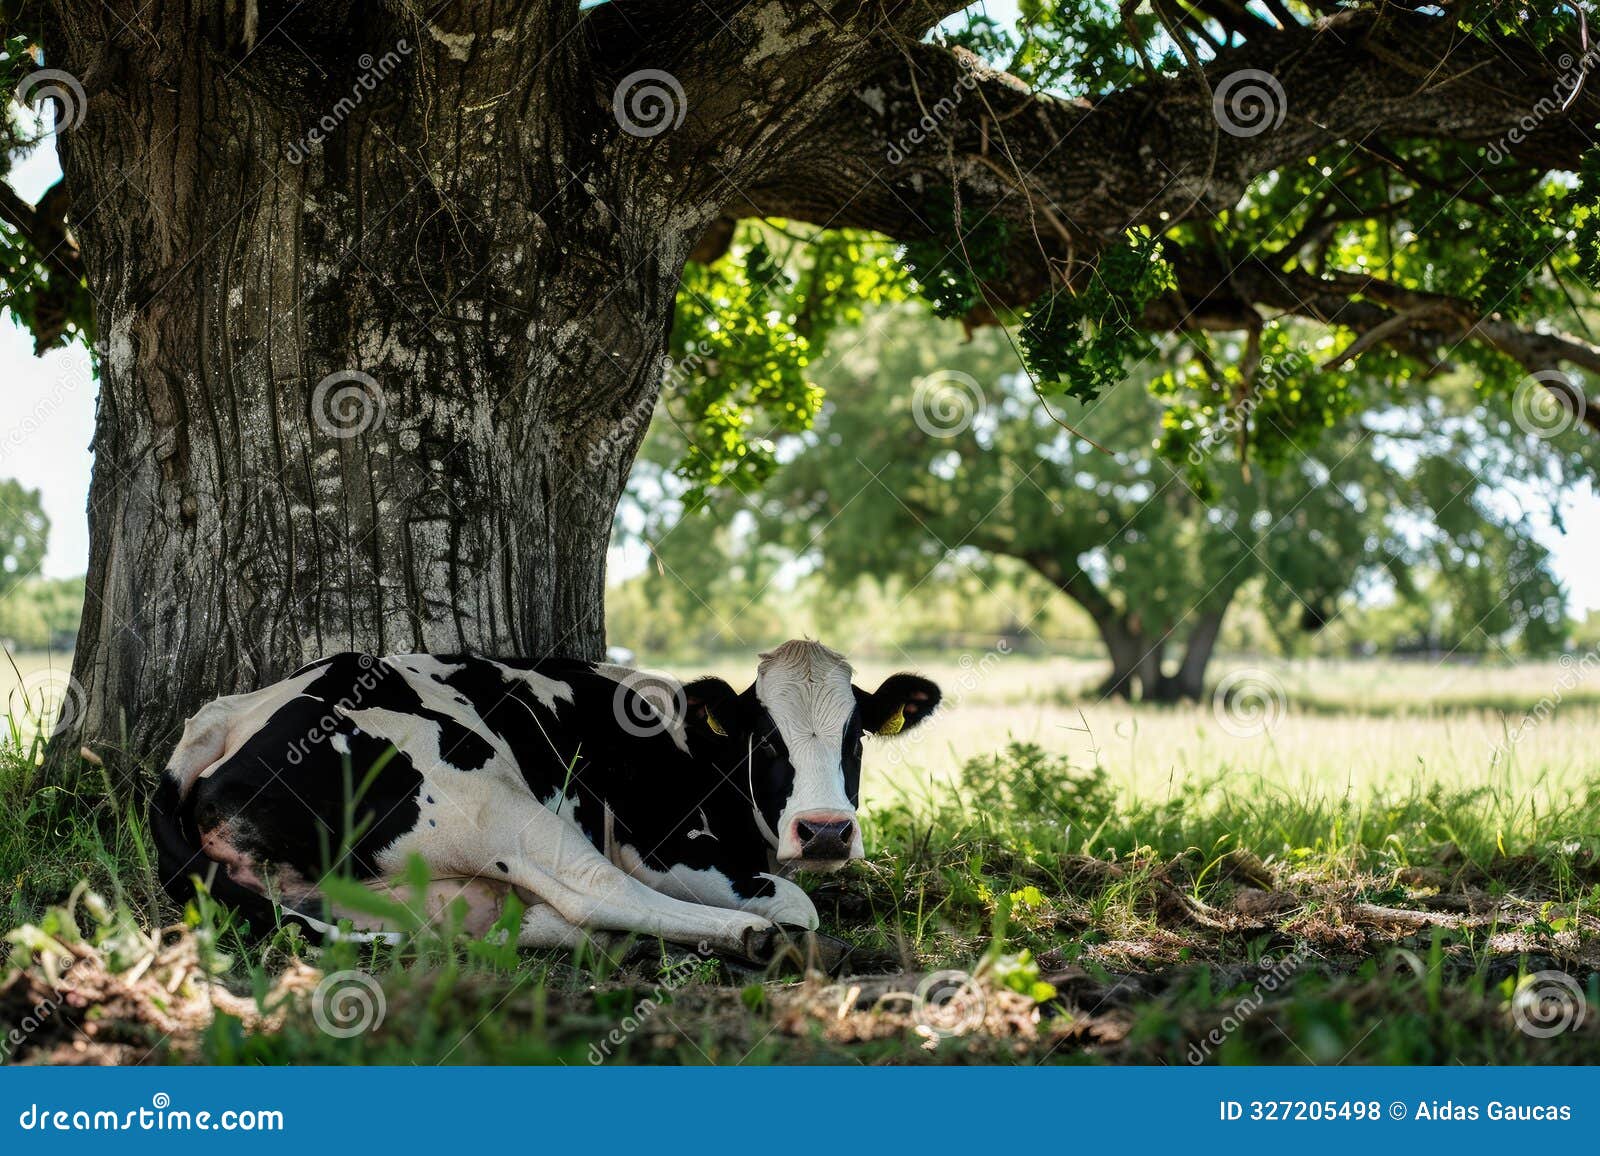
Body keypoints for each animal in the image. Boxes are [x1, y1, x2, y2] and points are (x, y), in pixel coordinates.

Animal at [150, 640, 940, 958]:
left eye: (855, 738)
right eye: (768, 742)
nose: (826, 830)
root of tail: (229, 711)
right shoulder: (666, 849)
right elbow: (796, 900)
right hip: (485, 800)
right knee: (596, 892)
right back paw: (750, 938)